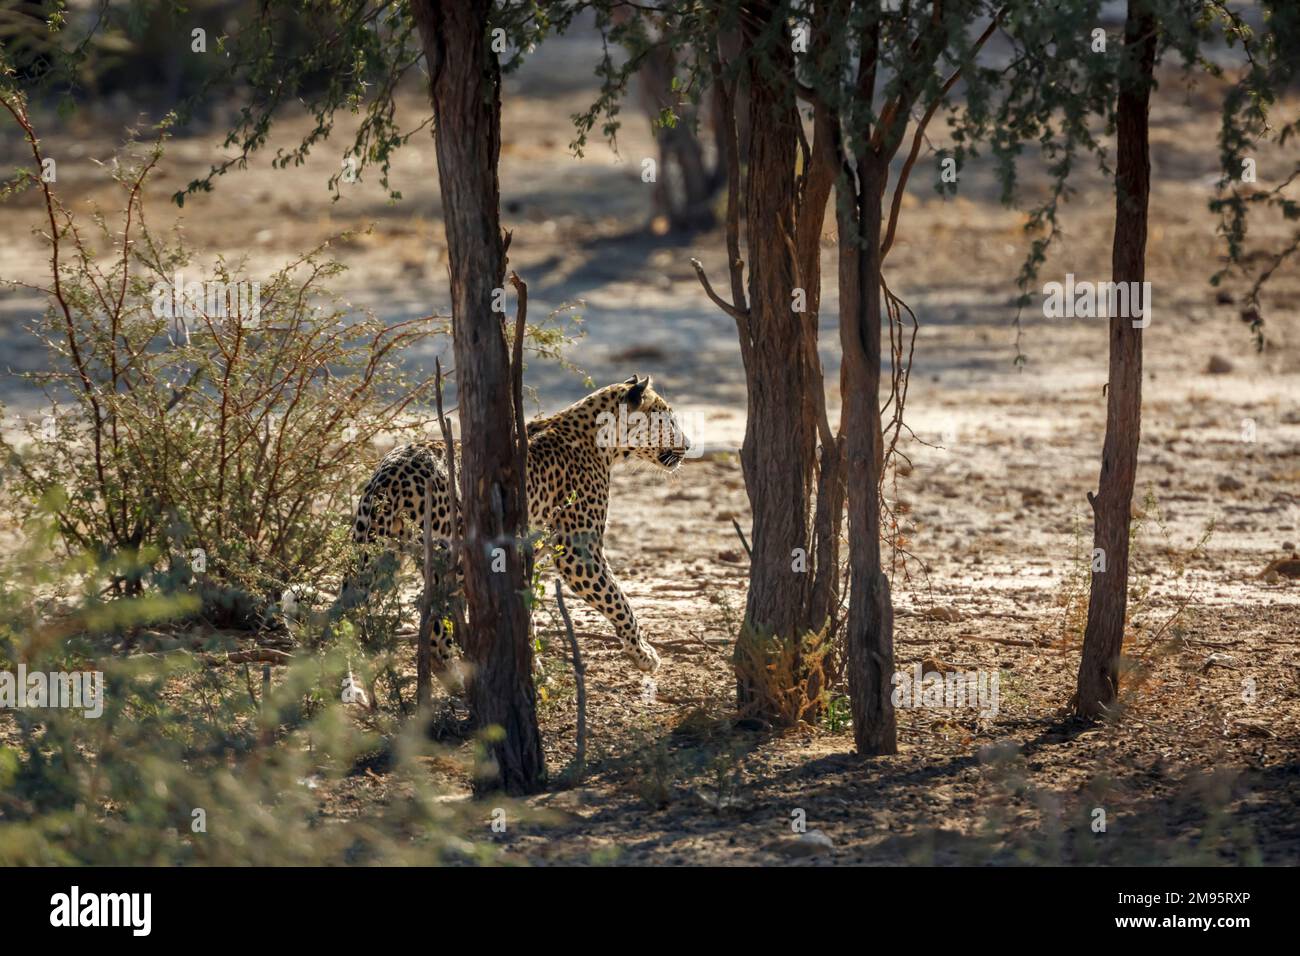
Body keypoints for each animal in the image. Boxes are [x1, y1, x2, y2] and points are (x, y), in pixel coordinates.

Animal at [346, 375, 690, 675]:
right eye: (666, 420)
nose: (688, 445)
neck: (604, 444)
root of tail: (394, 469)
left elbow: (527, 612)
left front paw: (531, 666)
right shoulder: (579, 551)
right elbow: (618, 599)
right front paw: (643, 654)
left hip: (375, 550)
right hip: (448, 555)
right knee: (433, 617)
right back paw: (456, 674)